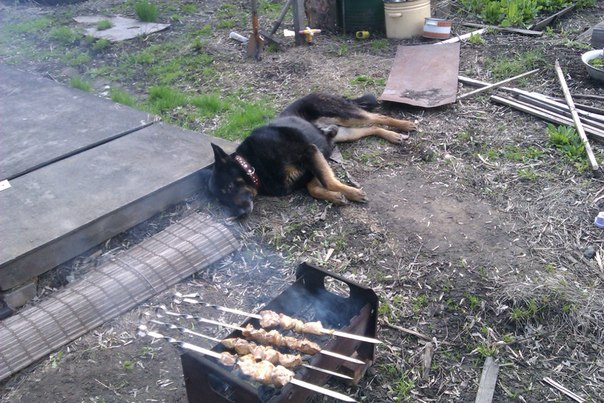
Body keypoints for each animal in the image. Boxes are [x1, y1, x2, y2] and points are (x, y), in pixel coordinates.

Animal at [209, 93, 416, 217]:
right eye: (221, 200)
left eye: (229, 187)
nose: (239, 215)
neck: (252, 166)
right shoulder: (313, 162)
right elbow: (314, 188)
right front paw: (336, 196)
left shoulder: (310, 152)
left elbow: (328, 181)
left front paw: (351, 192)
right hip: (346, 133)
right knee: (372, 127)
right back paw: (393, 136)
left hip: (347, 116)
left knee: (378, 117)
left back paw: (404, 125)